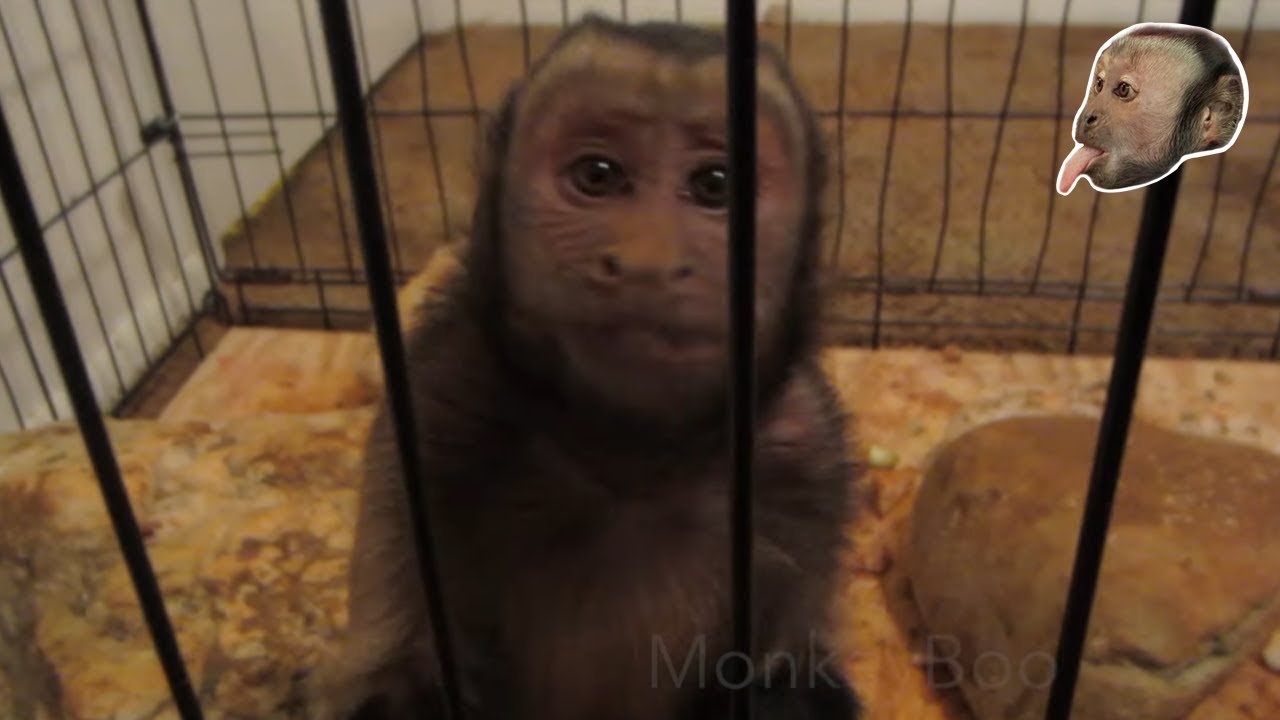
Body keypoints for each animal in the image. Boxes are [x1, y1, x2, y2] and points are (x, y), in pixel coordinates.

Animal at [307, 14, 863, 720]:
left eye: (714, 186)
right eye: (597, 175)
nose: (648, 263)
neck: (631, 460)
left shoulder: (810, 455)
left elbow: (792, 672)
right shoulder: (431, 412)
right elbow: (393, 678)